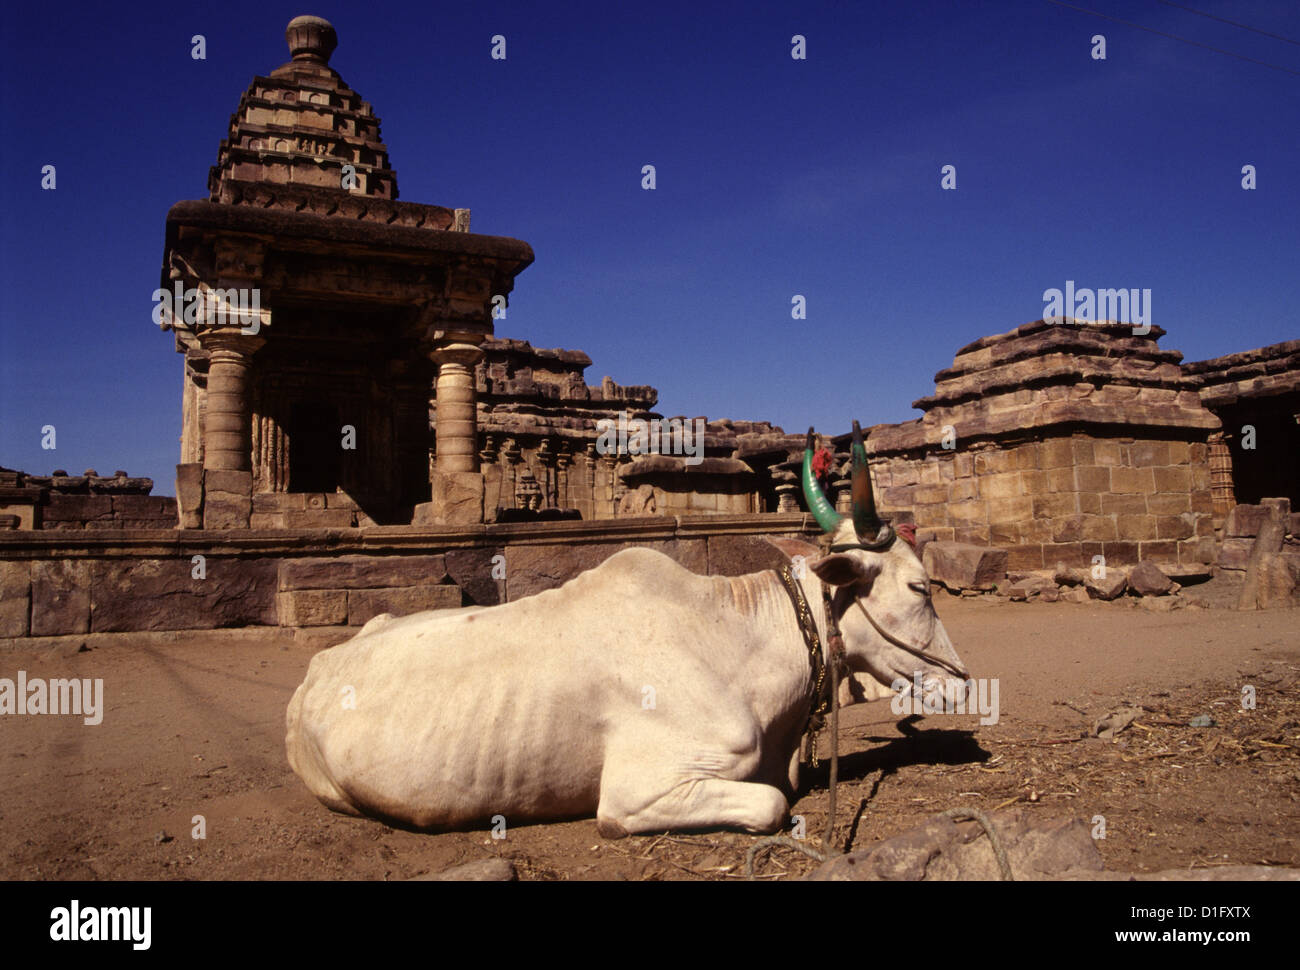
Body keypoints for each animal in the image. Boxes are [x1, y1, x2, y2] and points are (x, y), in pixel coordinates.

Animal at [285, 421, 971, 836]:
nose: (963, 682)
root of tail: (313, 674)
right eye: (920, 587)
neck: (738, 642)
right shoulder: (638, 792)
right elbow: (773, 804)